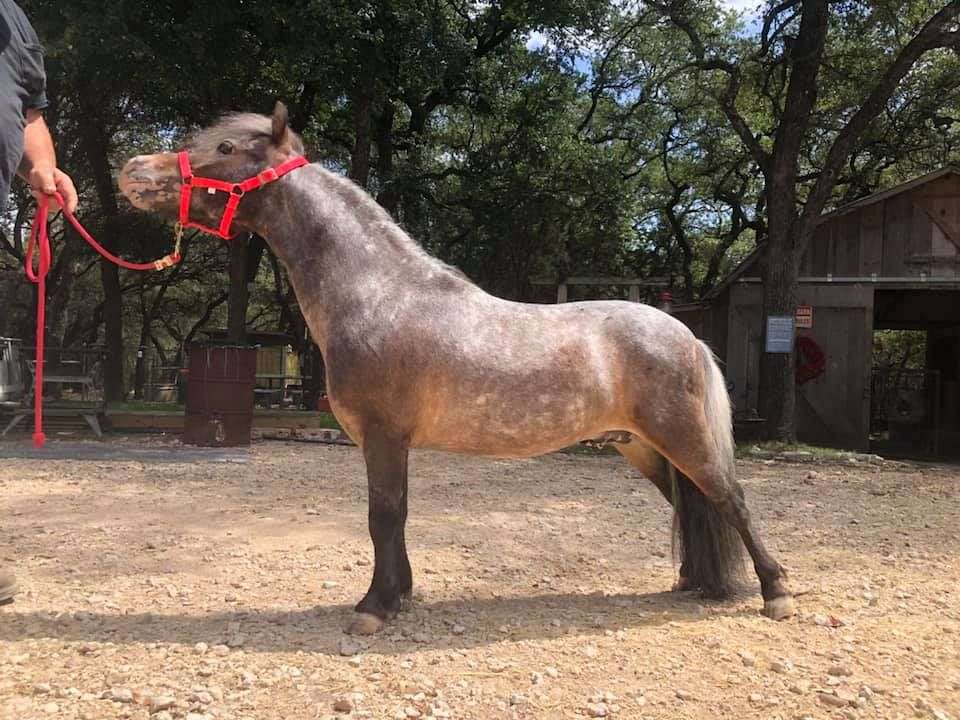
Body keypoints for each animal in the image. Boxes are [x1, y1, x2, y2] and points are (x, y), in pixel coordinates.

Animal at [119, 103, 795, 635]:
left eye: (226, 148)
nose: (134, 171)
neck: (379, 295)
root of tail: (685, 334)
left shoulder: (384, 436)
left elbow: (383, 516)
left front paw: (374, 608)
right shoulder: (391, 443)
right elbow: (395, 518)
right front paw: (399, 595)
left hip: (682, 437)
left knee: (729, 498)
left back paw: (776, 594)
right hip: (639, 447)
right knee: (690, 503)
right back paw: (691, 582)